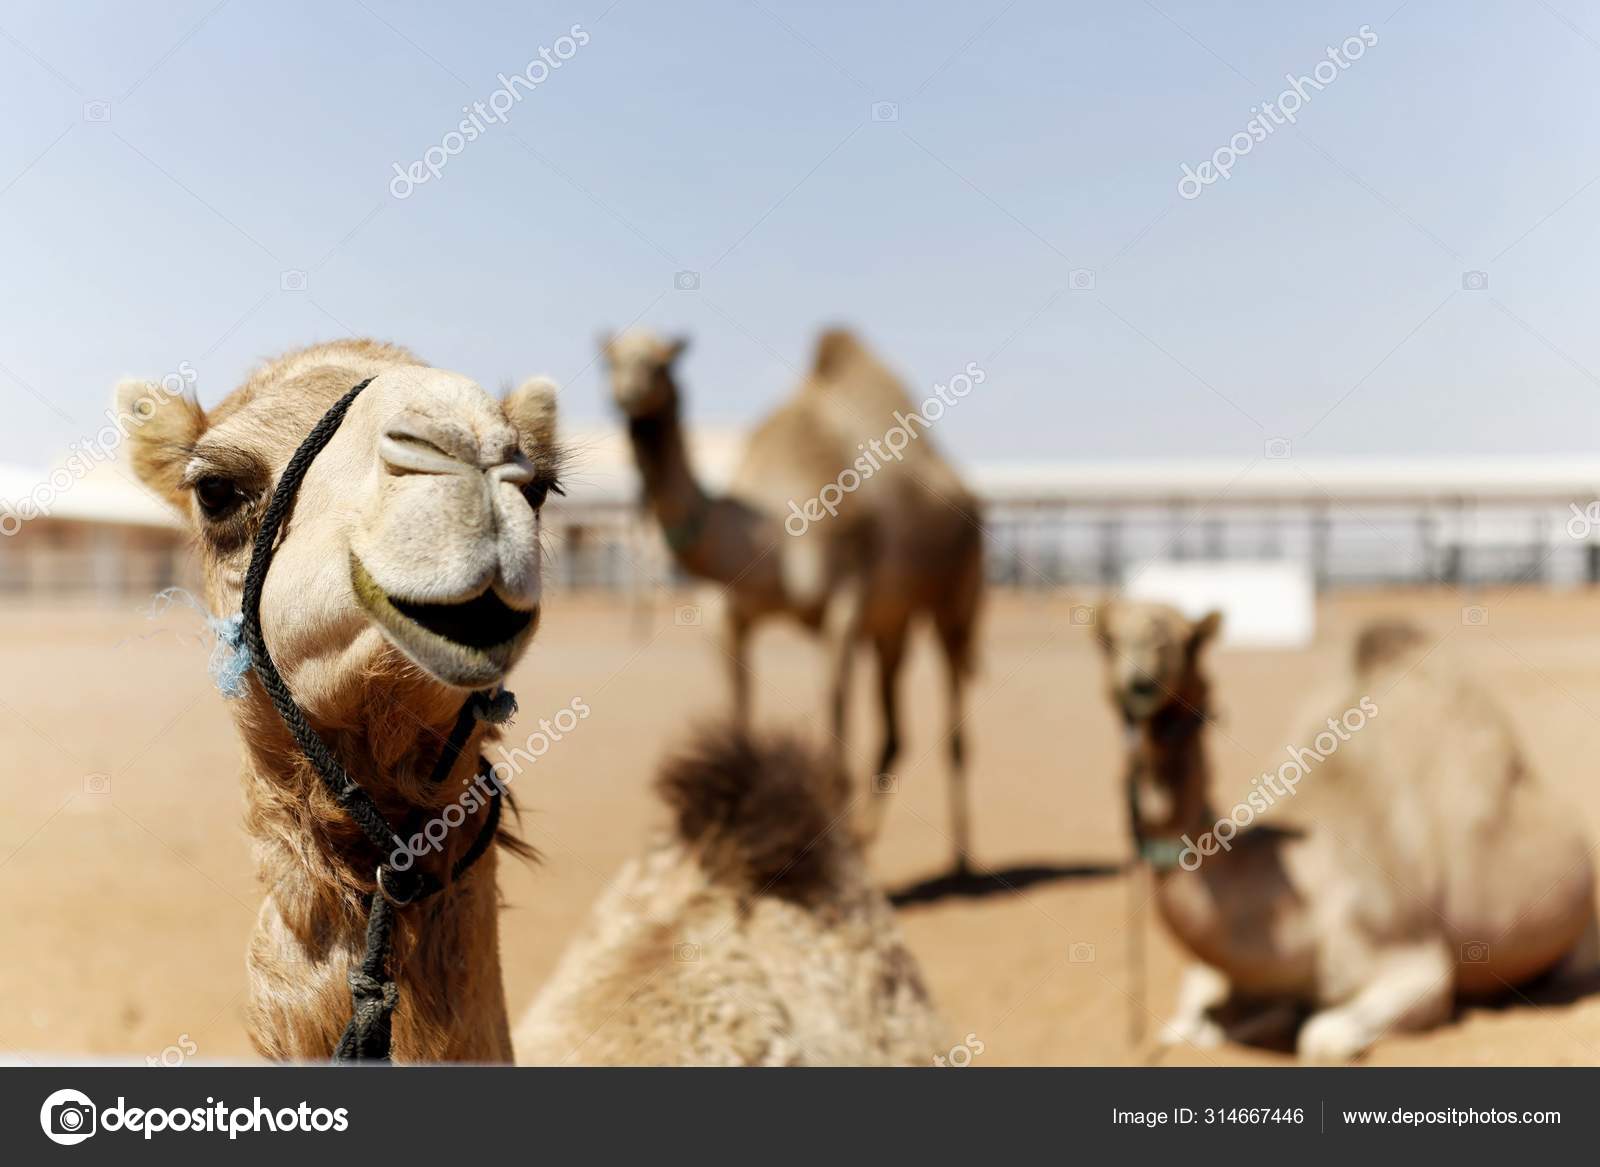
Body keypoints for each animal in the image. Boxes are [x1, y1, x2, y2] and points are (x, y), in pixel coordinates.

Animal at [600, 328, 985, 869]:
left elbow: (835, 736)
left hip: (957, 597)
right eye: (610, 360)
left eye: (660, 363)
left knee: (955, 725)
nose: (626, 395)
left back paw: (961, 857)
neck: (768, 536)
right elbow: (736, 723)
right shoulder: (727, 619)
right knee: (894, 730)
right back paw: (865, 842)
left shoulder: (844, 601)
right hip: (892, 623)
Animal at [1096, 602, 1598, 1061]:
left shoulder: (1414, 963)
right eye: (1107, 638)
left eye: (1179, 641)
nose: (1138, 686)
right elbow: (1189, 1025)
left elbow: (1321, 1038)